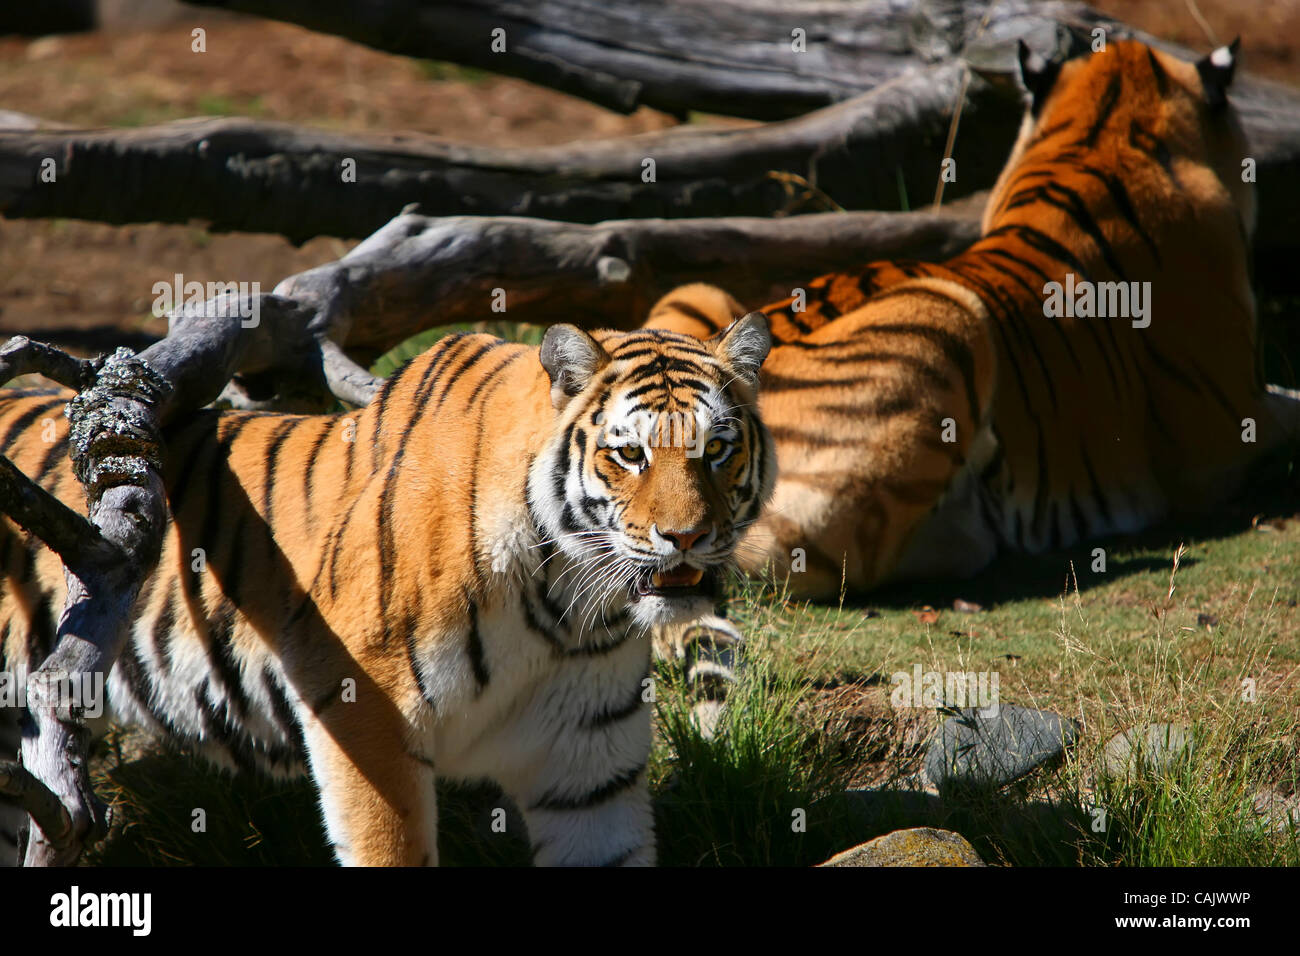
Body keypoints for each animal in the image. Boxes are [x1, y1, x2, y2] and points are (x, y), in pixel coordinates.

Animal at [0, 317, 774, 866]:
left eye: (717, 448)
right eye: (630, 454)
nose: (687, 537)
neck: (566, 610)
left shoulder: (588, 769)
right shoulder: (363, 713)